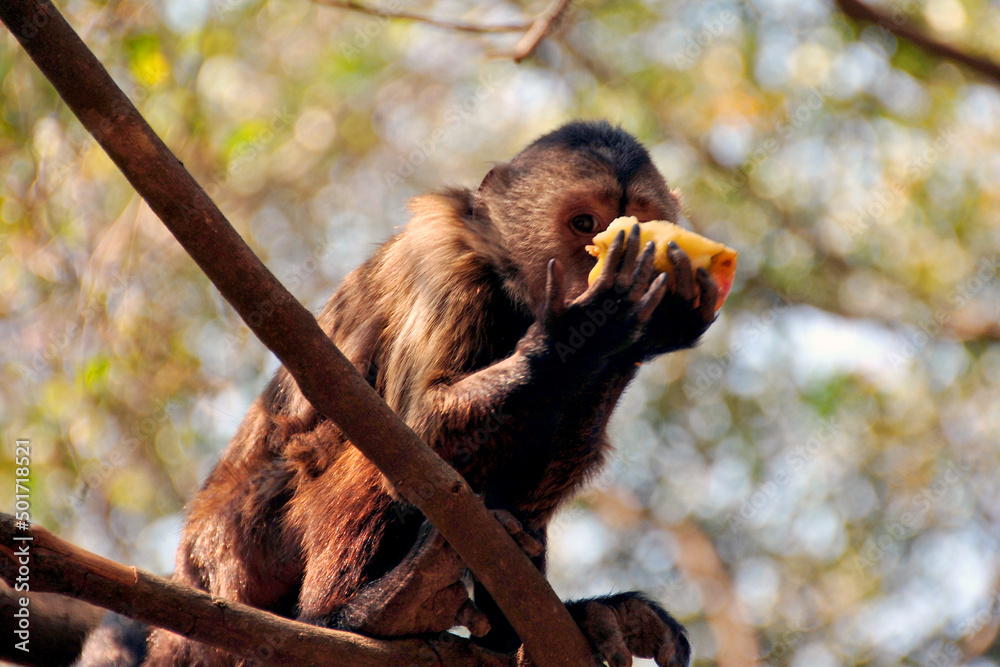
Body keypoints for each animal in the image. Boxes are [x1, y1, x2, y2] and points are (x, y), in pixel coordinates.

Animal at [78, 120, 718, 667]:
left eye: (633, 220)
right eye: (585, 225)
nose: (605, 265)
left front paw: (652, 323)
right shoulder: (442, 256)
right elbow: (418, 434)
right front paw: (592, 323)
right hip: (240, 553)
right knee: (373, 448)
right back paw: (364, 612)